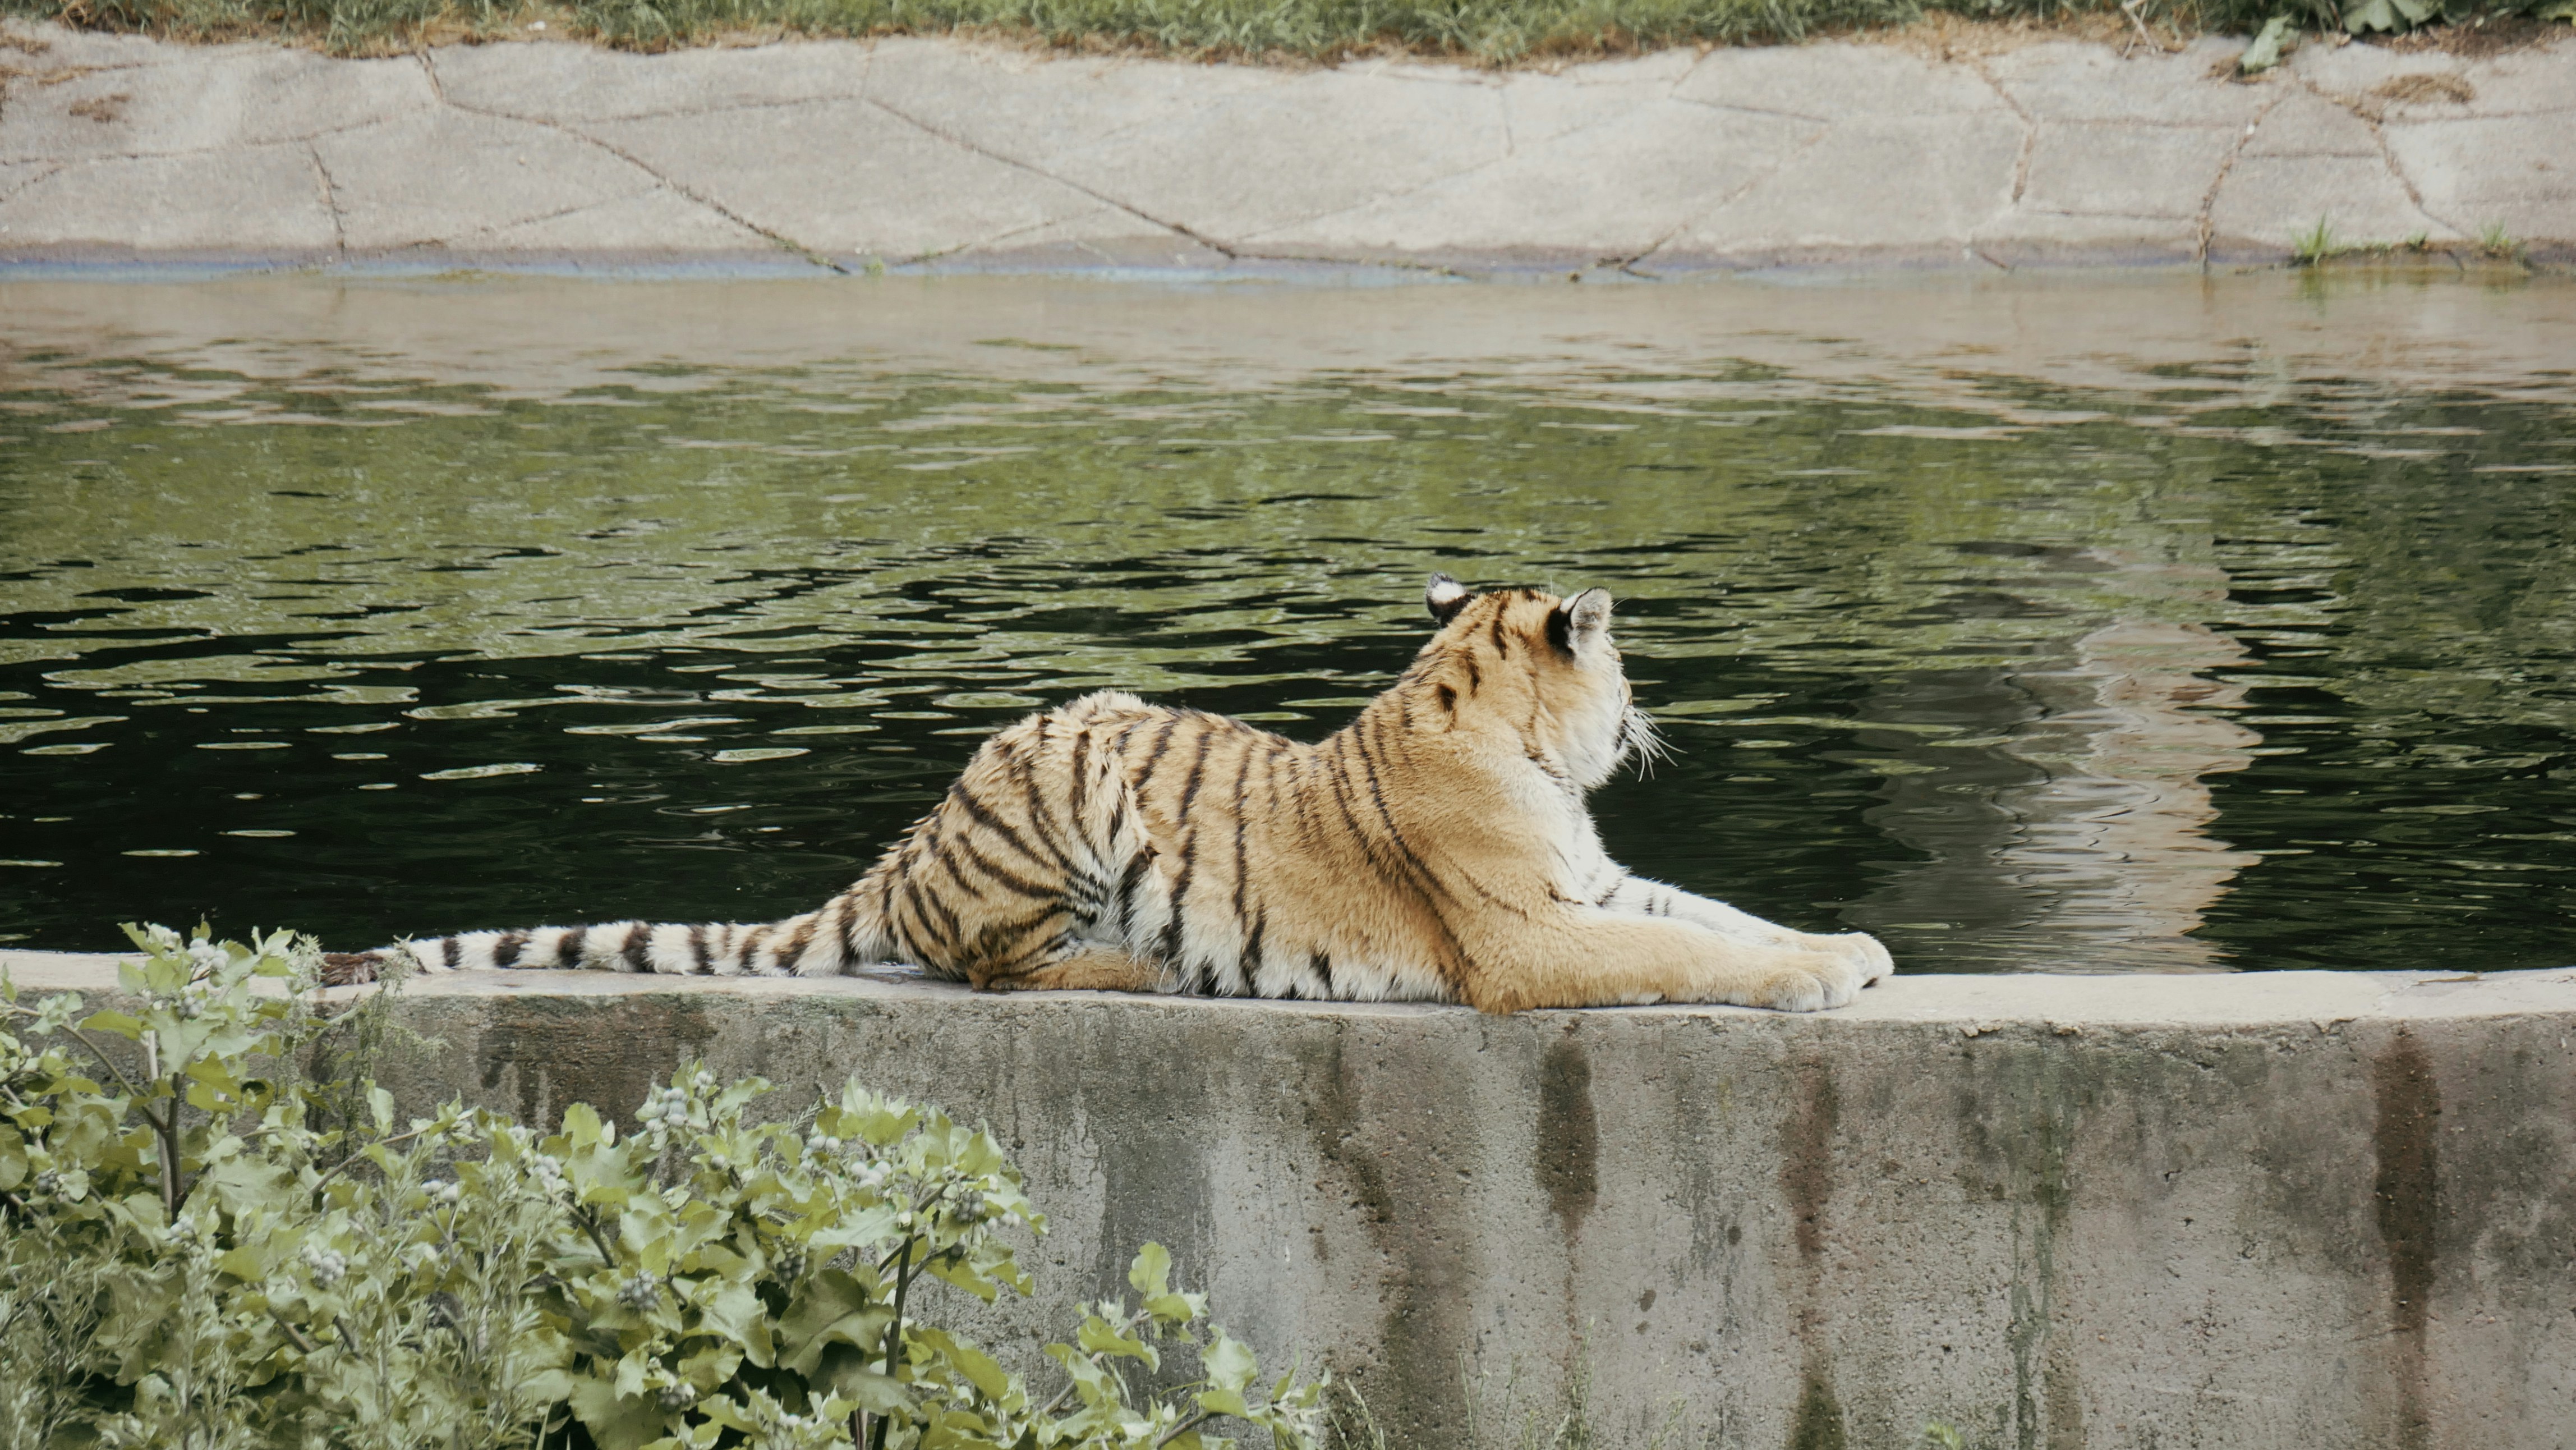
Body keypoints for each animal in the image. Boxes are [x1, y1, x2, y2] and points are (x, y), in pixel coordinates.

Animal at [322, 577, 1893, 1013]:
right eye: (1620, 669)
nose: (1638, 716)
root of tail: (911, 843)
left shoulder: (1597, 883)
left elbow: (1718, 915)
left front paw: (1852, 948)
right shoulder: (1531, 934)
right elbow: (1692, 951)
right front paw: (1815, 979)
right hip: (1068, 785)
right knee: (993, 970)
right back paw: (1136, 970)